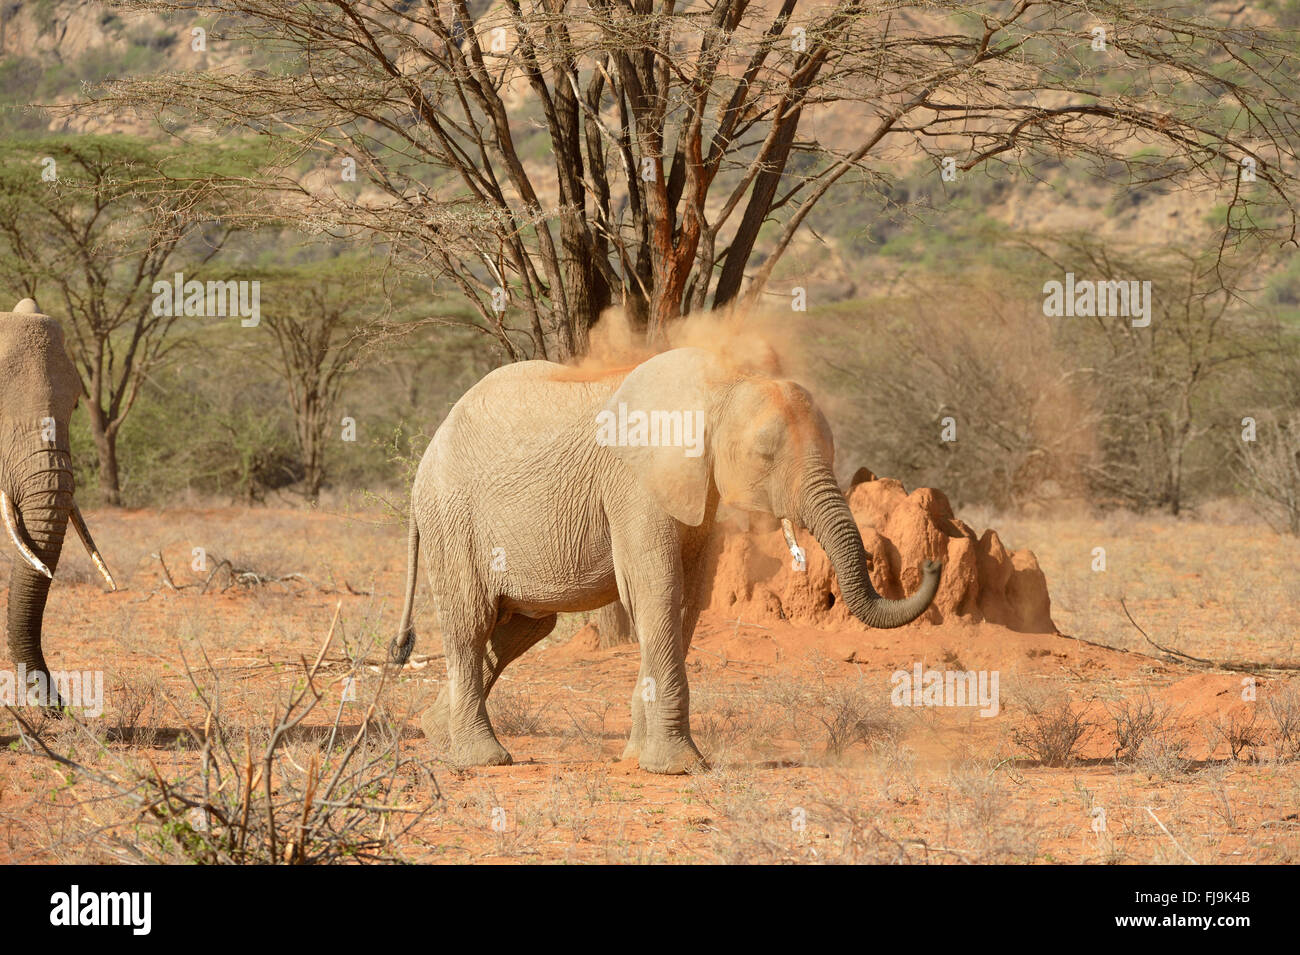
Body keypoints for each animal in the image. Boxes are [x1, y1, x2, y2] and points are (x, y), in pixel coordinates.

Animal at [390, 346, 941, 774]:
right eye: (764, 454)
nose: (932, 565)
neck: (723, 382)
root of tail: (427, 455)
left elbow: (688, 597)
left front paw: (639, 758)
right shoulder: (633, 484)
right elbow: (657, 588)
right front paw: (677, 767)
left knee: (523, 627)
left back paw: (436, 731)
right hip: (452, 519)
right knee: (472, 621)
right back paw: (483, 758)